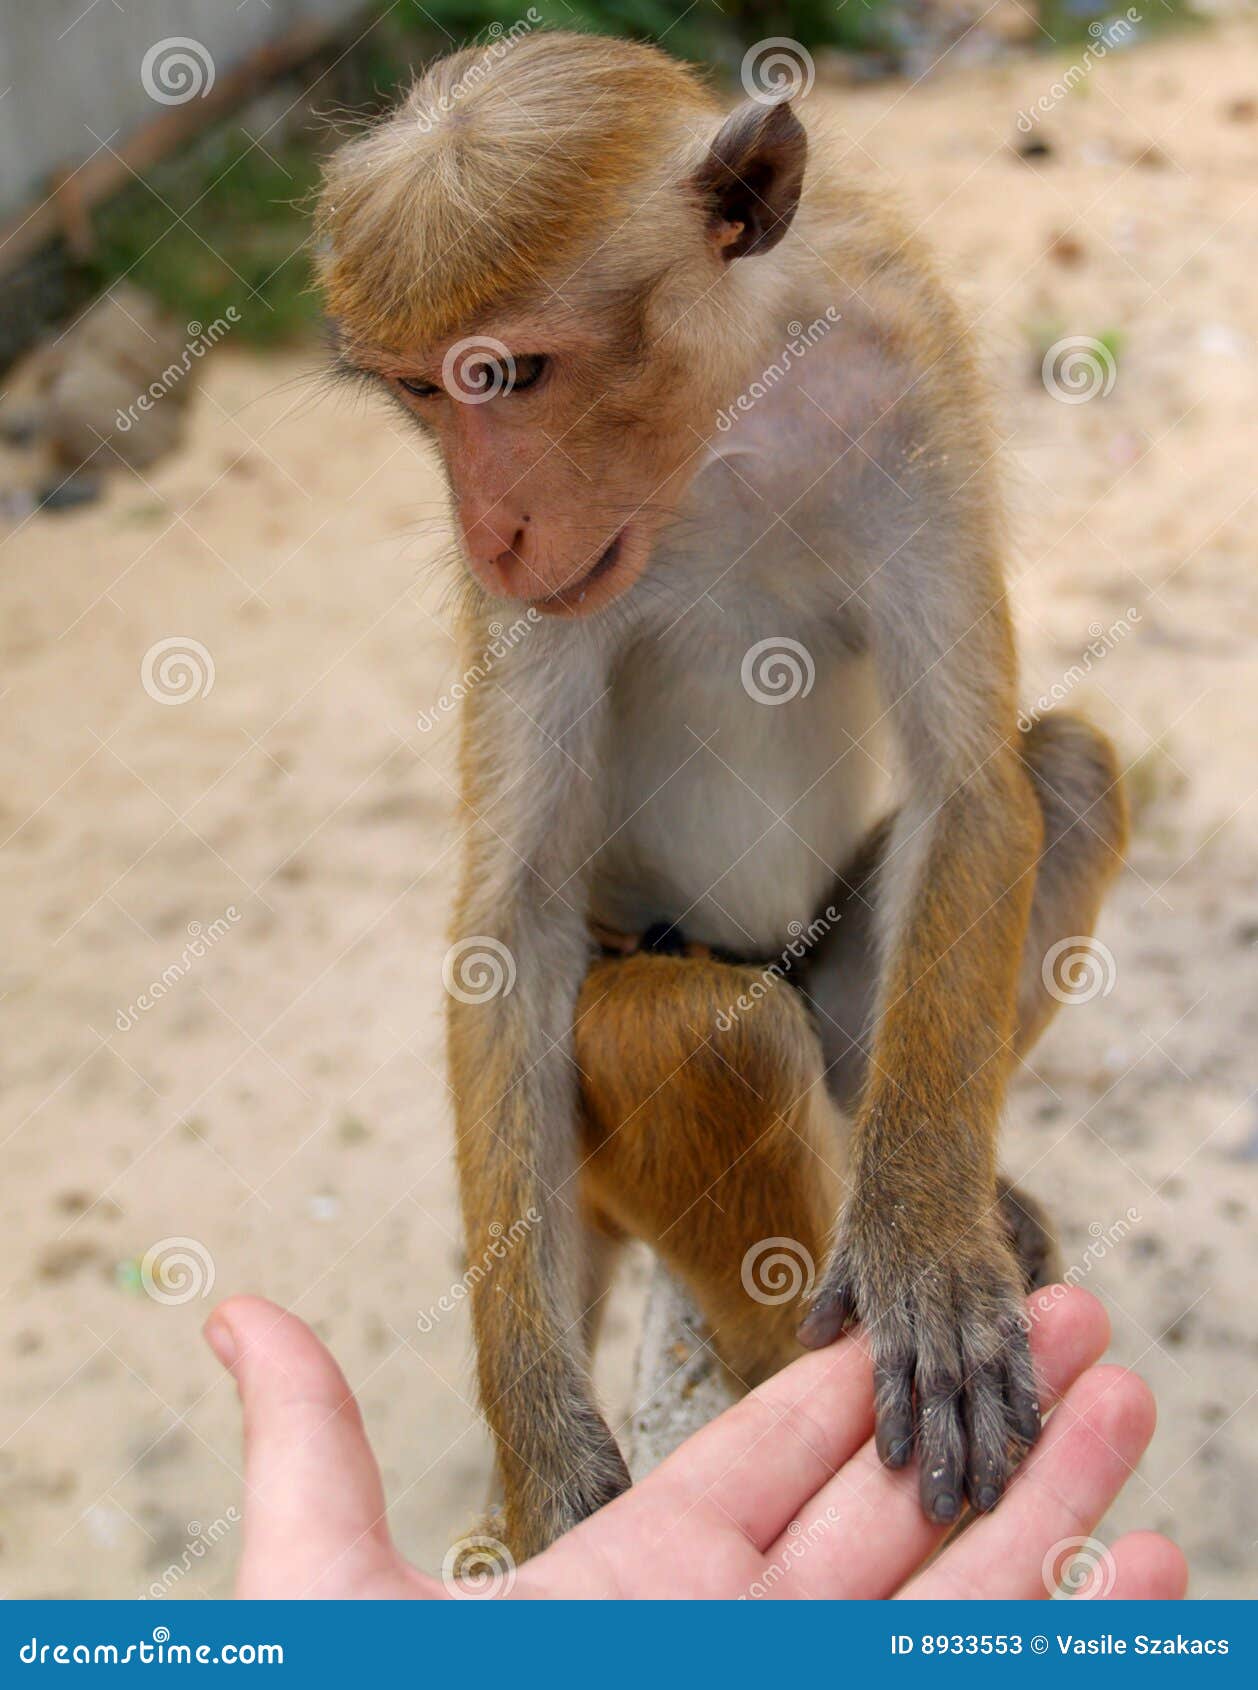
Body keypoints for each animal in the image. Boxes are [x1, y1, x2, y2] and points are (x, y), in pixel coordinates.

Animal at [316, 30, 1127, 1559]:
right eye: (420, 393)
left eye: (507, 373)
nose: (488, 529)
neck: (714, 428)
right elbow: (513, 913)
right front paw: (545, 1449)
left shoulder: (907, 363)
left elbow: (971, 786)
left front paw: (926, 1247)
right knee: (696, 1027)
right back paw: (774, 1360)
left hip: (846, 1025)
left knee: (1066, 778)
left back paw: (939, 1198)